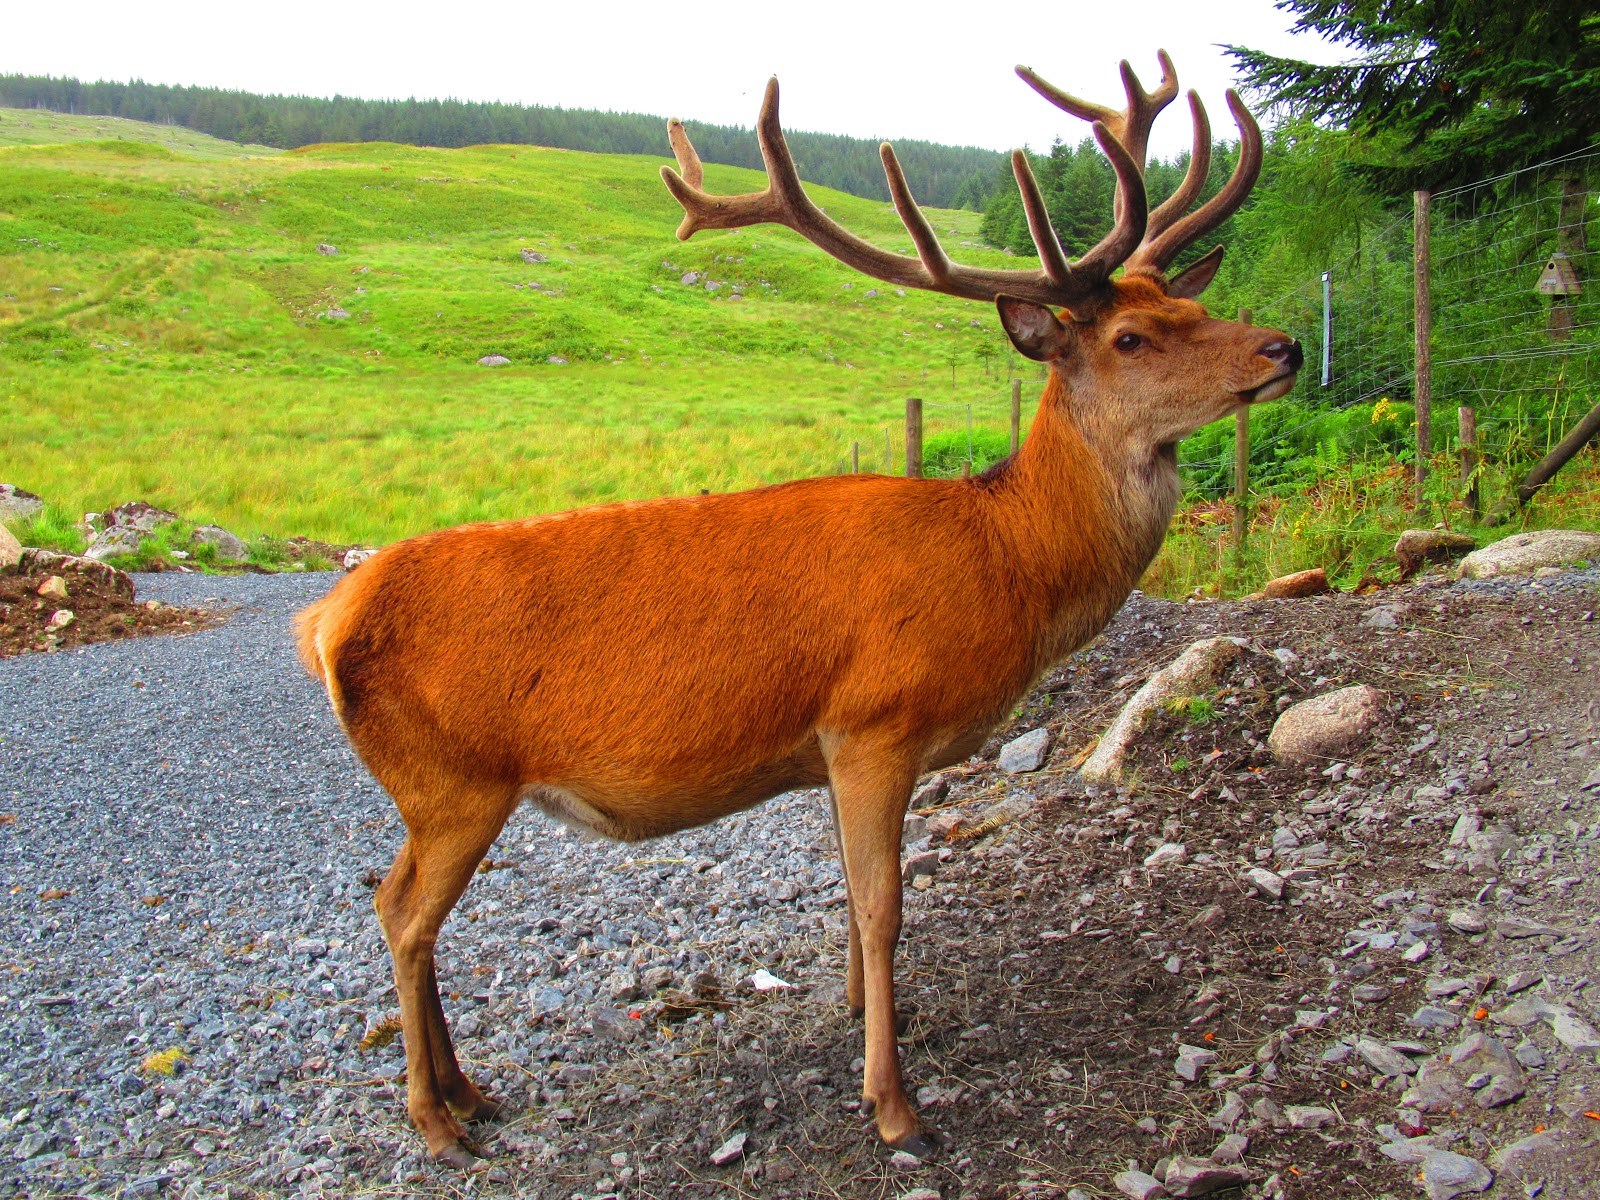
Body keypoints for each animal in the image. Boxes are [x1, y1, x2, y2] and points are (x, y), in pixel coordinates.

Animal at [296, 51, 1301, 1168]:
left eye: (1191, 307)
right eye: (1131, 336)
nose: (1283, 348)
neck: (1008, 562)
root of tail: (326, 621)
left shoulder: (826, 743)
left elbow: (848, 899)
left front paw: (865, 1017)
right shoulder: (878, 717)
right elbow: (884, 905)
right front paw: (895, 1103)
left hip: (441, 787)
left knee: (402, 906)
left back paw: (471, 1094)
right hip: (451, 778)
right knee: (400, 912)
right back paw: (435, 1119)